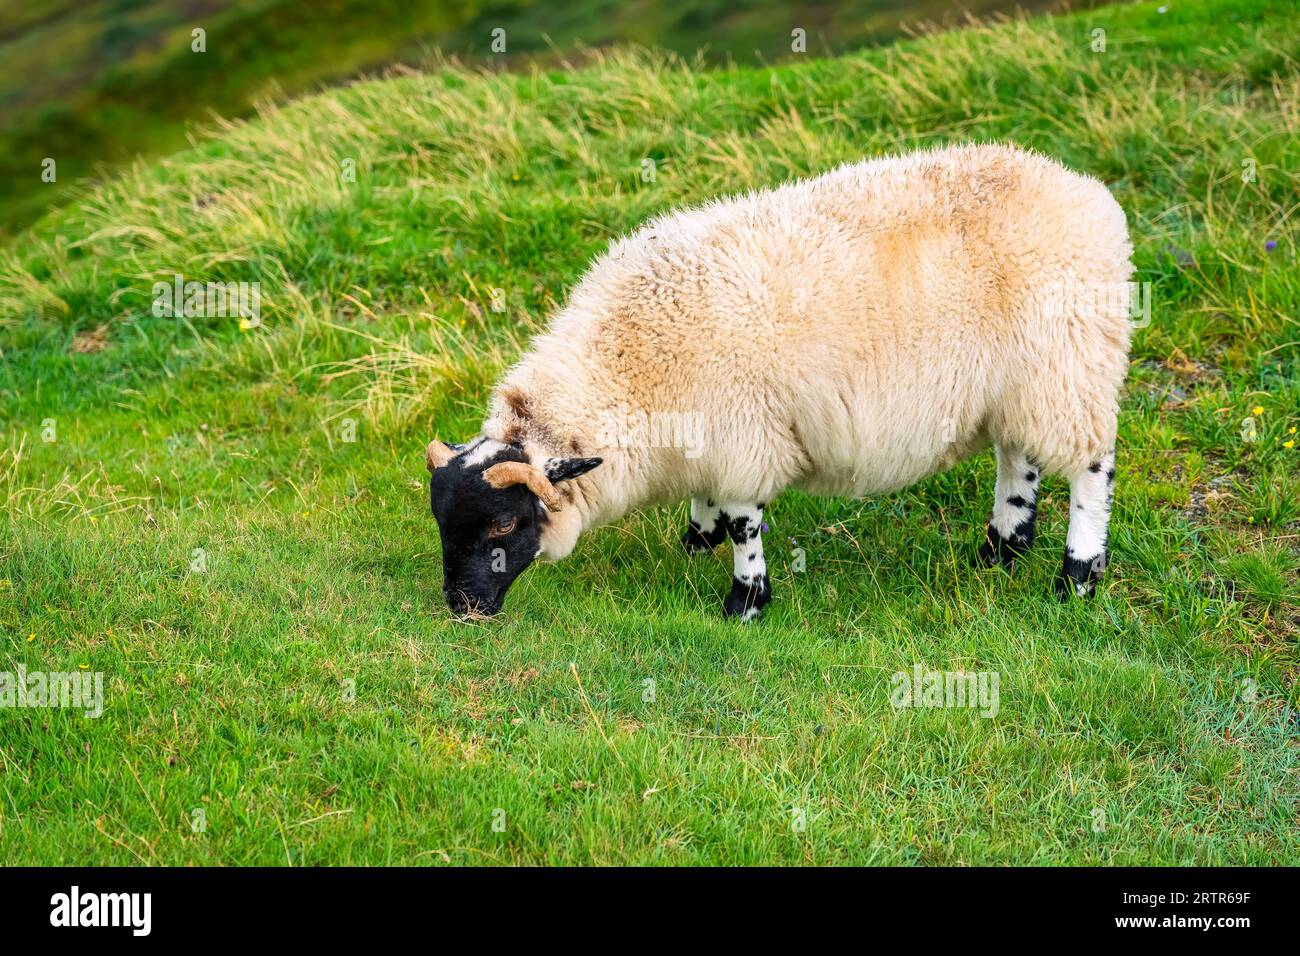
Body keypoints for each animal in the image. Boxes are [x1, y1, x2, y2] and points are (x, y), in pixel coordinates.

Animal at [426, 143, 1133, 619]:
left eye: (501, 527)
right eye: (441, 522)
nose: (462, 609)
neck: (626, 364)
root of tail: (1090, 197)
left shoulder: (741, 432)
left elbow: (745, 522)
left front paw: (745, 600)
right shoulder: (706, 428)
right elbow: (710, 501)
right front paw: (695, 542)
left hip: (1069, 365)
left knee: (1091, 468)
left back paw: (1076, 577)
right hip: (1022, 379)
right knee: (1019, 458)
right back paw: (1001, 551)